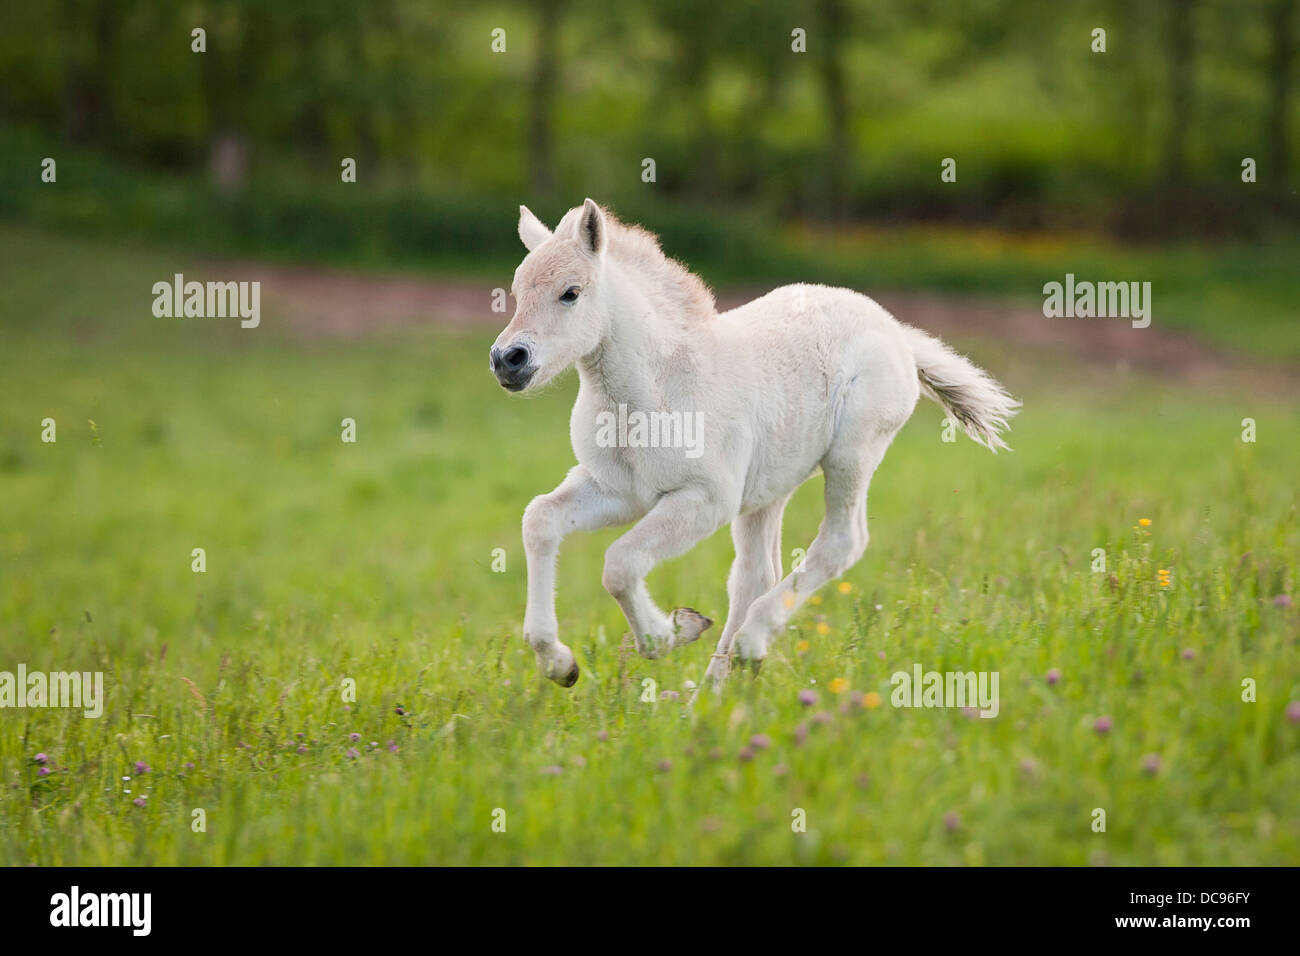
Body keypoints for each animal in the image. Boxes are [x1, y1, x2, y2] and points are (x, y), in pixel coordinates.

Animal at [490, 199, 1019, 689]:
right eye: (515, 293)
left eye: (571, 293)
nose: (508, 359)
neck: (655, 388)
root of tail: (897, 333)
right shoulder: (618, 491)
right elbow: (540, 520)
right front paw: (559, 663)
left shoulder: (706, 500)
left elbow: (620, 563)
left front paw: (668, 635)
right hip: (769, 487)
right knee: (753, 575)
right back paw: (711, 696)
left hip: (852, 454)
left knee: (841, 542)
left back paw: (750, 643)